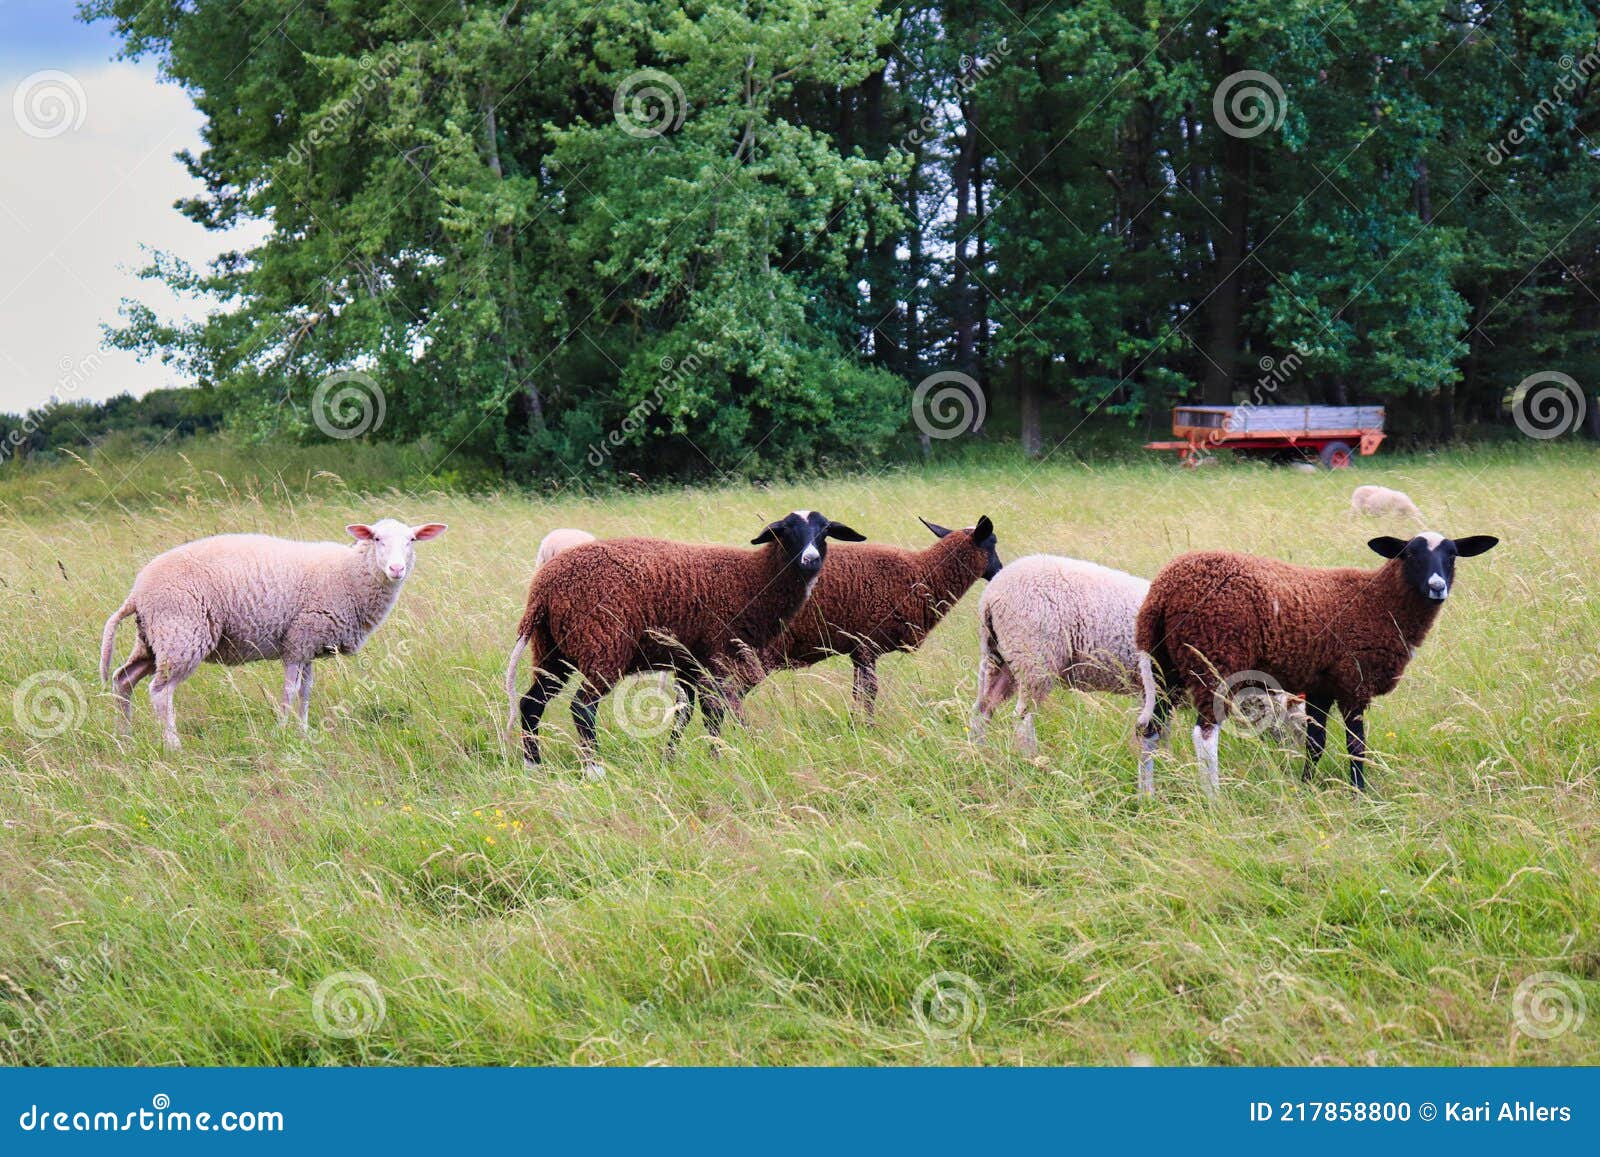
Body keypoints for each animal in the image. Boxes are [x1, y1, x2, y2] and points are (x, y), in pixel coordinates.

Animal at [100, 519, 447, 747]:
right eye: (376, 539)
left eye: (412, 540)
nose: (396, 569)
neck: (350, 574)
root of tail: (136, 592)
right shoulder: (298, 639)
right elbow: (289, 691)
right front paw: (281, 731)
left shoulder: (309, 645)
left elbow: (306, 691)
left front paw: (304, 732)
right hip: (181, 633)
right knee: (160, 692)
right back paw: (173, 745)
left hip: (153, 639)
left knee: (122, 679)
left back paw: (124, 737)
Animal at [504, 510, 864, 778]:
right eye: (786, 530)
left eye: (825, 530)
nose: (810, 559)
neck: (753, 579)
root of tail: (544, 588)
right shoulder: (717, 655)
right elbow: (714, 711)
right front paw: (717, 756)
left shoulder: (689, 661)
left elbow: (684, 712)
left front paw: (671, 758)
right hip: (601, 646)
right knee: (582, 707)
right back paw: (594, 769)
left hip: (552, 650)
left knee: (531, 703)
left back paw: (533, 765)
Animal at [748, 516, 1000, 717]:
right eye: (993, 542)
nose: (999, 571)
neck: (923, 574)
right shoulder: (867, 645)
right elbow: (869, 692)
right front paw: (867, 727)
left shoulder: (859, 650)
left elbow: (858, 692)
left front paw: (855, 724)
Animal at [1135, 531, 1498, 793]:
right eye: (1409, 554)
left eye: (1452, 555)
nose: (1437, 587)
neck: (1379, 603)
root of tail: (1166, 590)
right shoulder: (1354, 681)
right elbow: (1356, 745)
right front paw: (1360, 794)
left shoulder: (1320, 686)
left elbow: (1315, 743)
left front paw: (1306, 786)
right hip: (1212, 662)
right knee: (1205, 735)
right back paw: (1214, 798)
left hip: (1162, 667)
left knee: (1149, 729)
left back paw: (1148, 796)